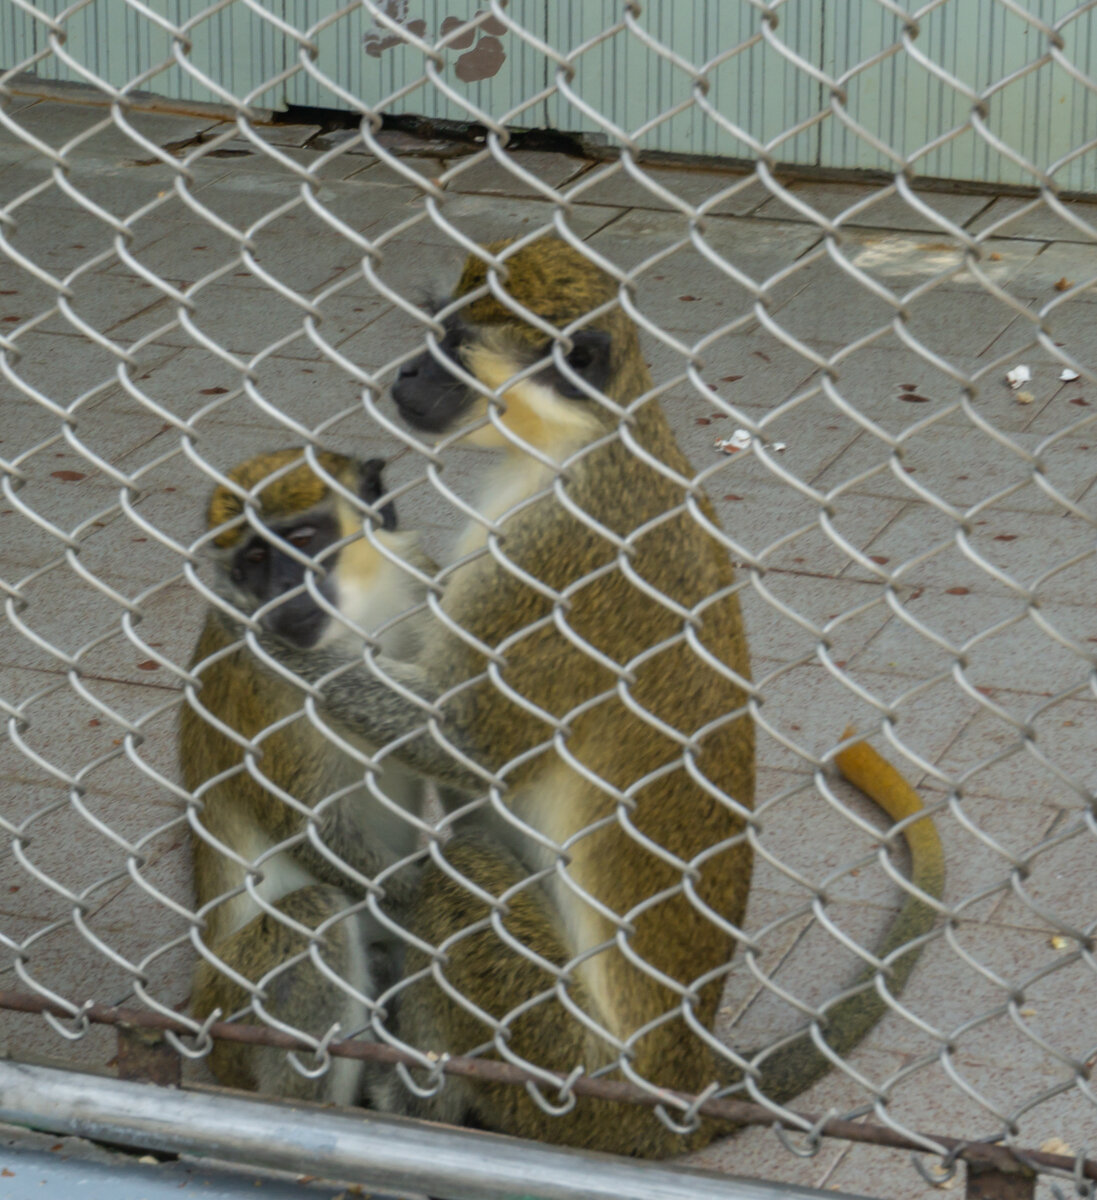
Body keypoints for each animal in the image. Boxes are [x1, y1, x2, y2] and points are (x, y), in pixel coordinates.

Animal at [254, 238, 940, 1156]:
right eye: (433, 329)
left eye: (453, 341)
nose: (405, 371)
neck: (581, 442)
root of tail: (679, 1088)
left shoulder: (550, 558)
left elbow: (480, 747)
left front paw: (270, 641)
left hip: (567, 1071)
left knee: (460, 874)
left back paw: (425, 1102)